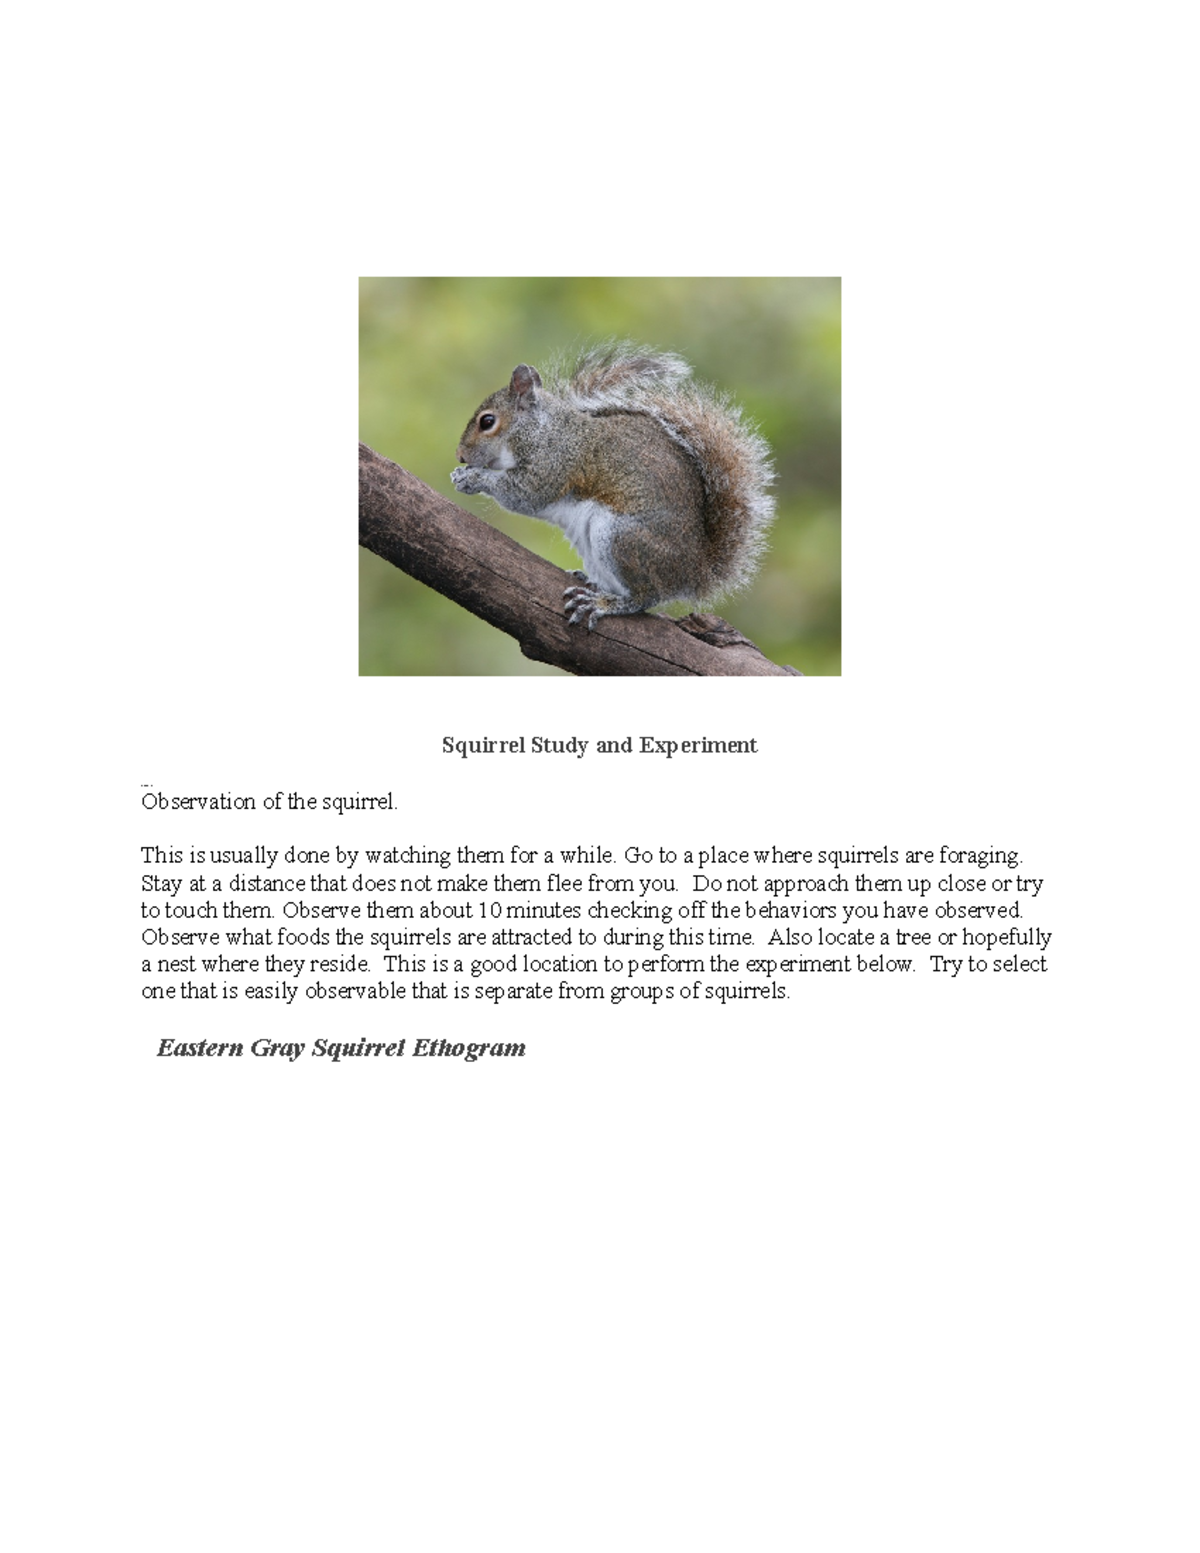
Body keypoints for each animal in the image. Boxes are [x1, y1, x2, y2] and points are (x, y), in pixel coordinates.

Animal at [451, 343, 775, 629]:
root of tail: (695, 572)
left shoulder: (554, 464)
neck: (541, 430)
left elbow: (523, 494)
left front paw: (472, 478)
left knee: (646, 596)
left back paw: (604, 603)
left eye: (487, 421)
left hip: (620, 538)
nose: (460, 456)